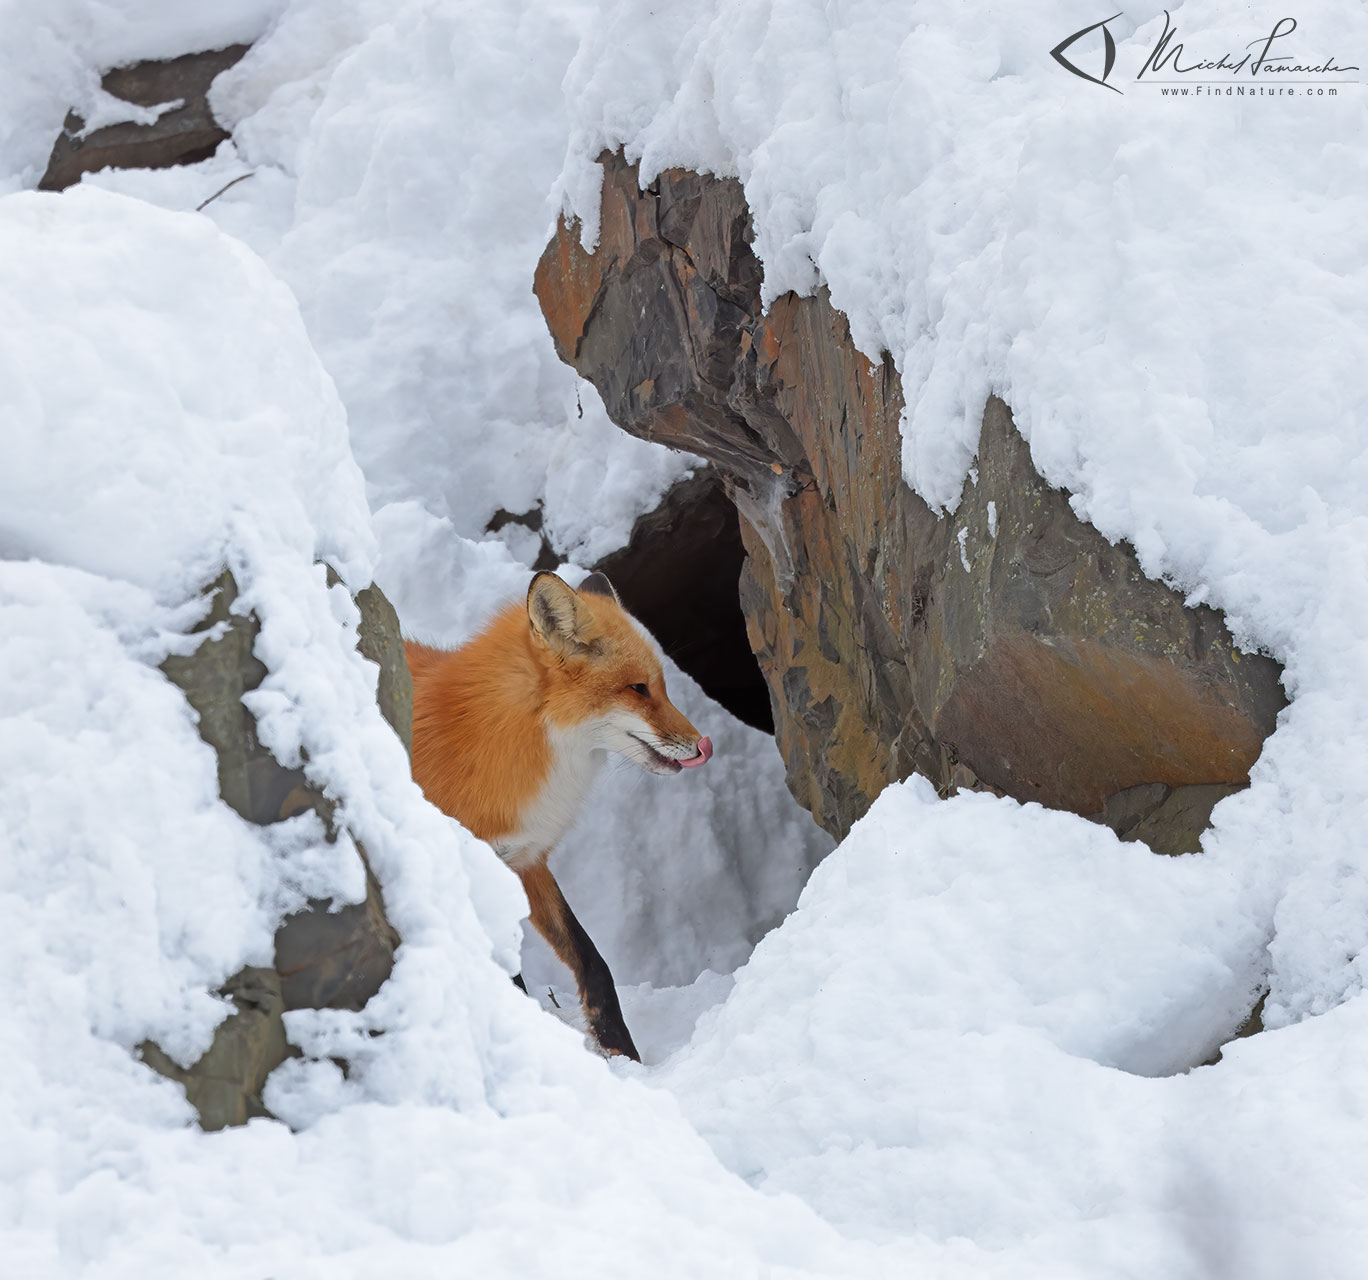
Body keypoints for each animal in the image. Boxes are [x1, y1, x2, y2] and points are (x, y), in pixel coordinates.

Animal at [404, 570, 712, 1061]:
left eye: (661, 686)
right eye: (637, 689)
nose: (703, 744)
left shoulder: (525, 859)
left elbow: (590, 958)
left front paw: (619, 1049)